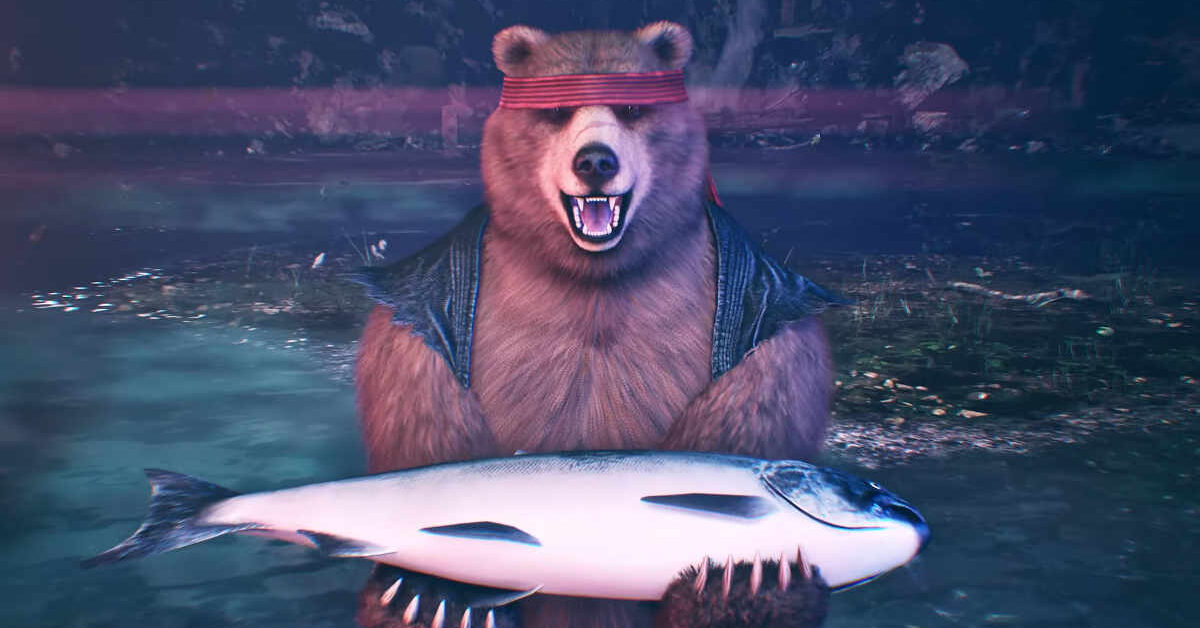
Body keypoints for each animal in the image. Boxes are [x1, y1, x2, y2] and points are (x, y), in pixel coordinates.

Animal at [353, 22, 837, 628]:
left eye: (631, 108)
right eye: (557, 111)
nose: (596, 162)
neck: (593, 275)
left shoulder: (765, 319)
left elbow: (753, 417)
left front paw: (745, 578)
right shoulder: (424, 319)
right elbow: (427, 430)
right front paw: (435, 590)